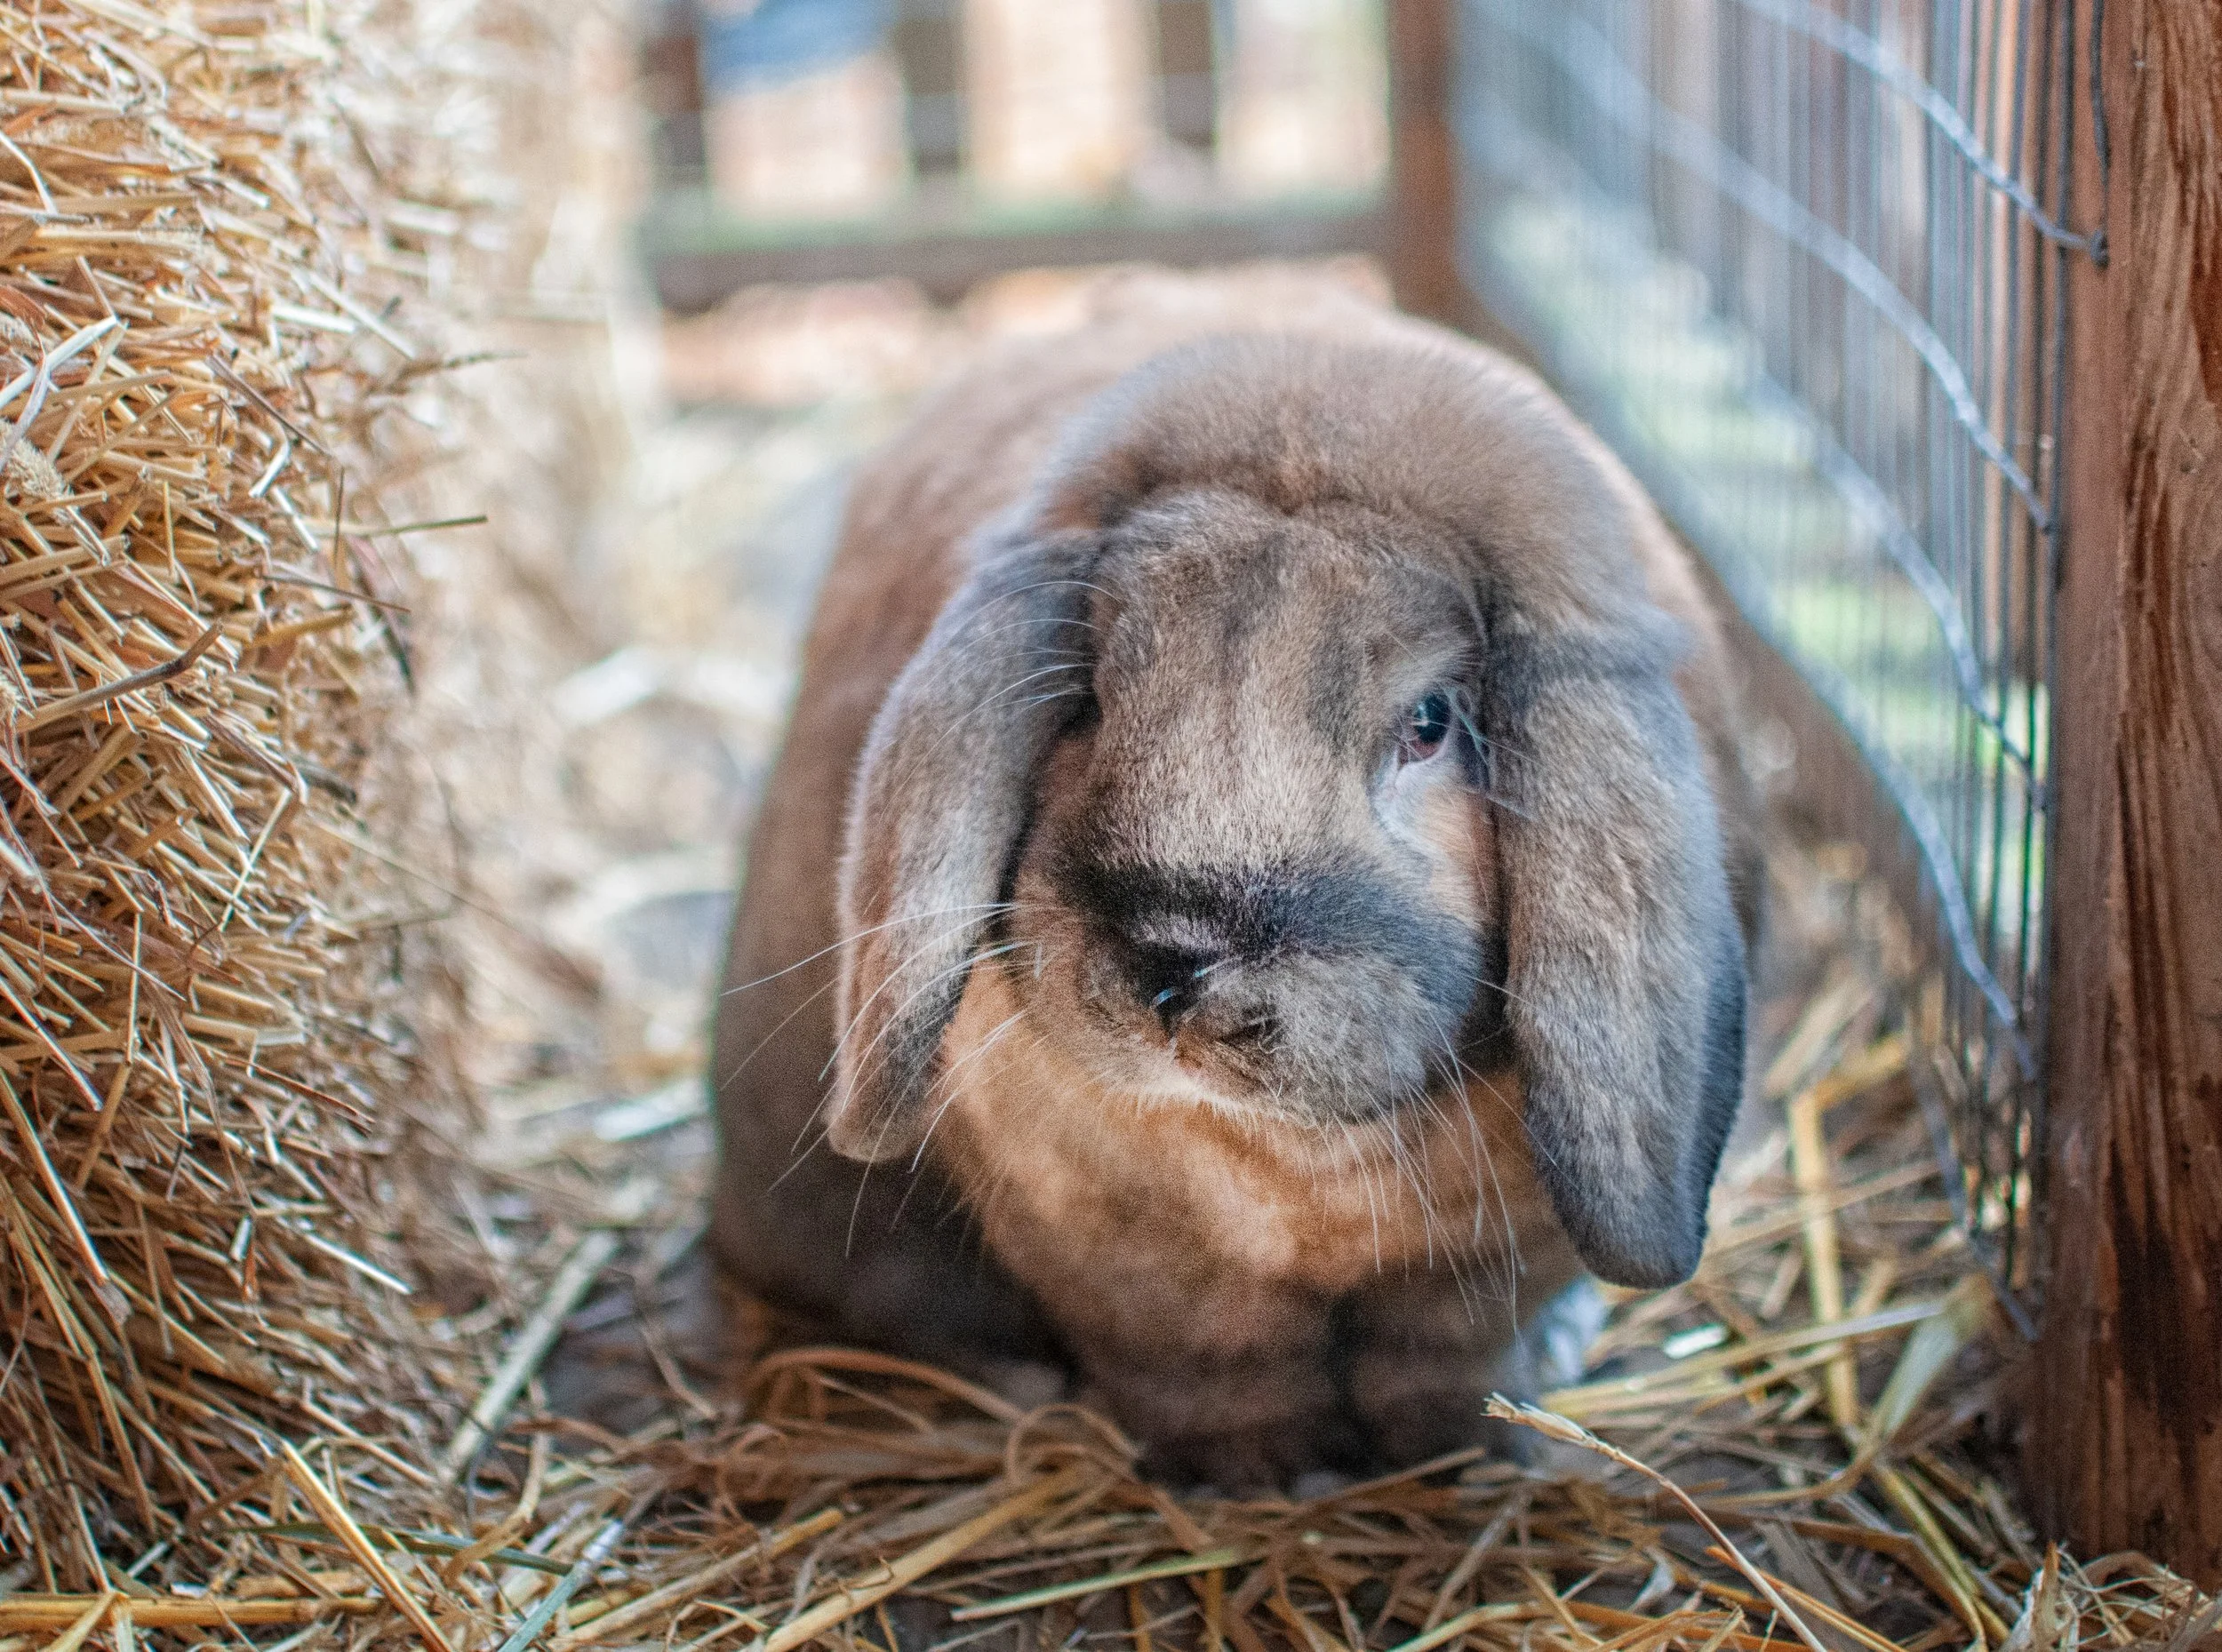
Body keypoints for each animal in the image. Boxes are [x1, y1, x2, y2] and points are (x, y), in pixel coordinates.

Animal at [710, 291, 1761, 1489]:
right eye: (1089, 697)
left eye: (1430, 720)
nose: (1176, 968)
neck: (1293, 1163)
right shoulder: (1126, 1268)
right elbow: (1210, 1369)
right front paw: (1256, 1472)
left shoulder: (1480, 1279)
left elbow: (1446, 1370)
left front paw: (1455, 1457)